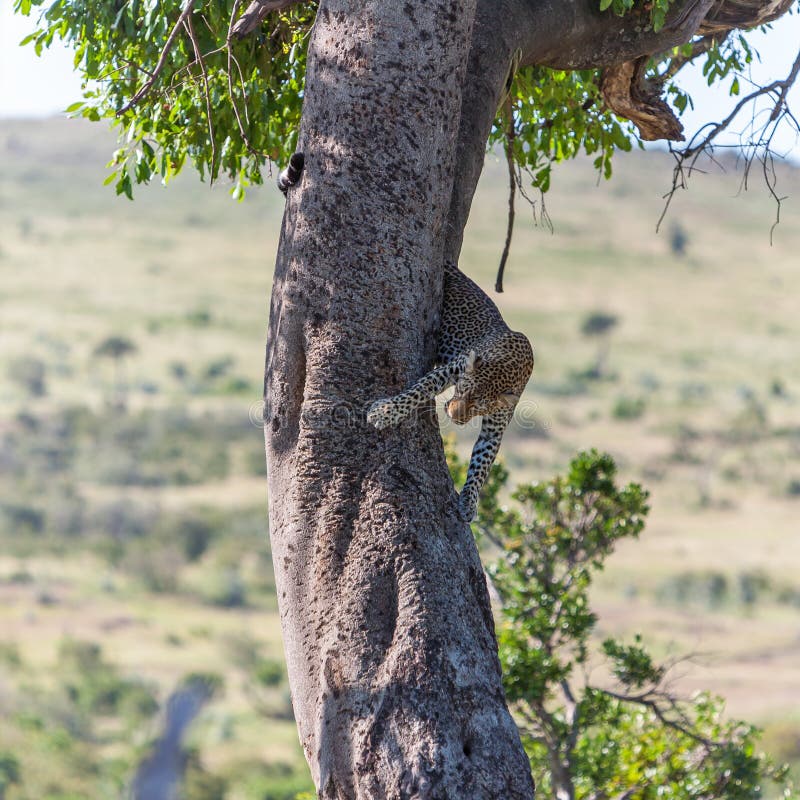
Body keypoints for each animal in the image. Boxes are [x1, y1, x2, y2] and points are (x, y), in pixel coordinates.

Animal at [367, 262, 534, 522]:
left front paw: (469, 502)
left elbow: (482, 463)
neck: (510, 364)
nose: (454, 417)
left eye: (479, 407)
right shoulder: (451, 369)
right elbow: (419, 390)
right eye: (462, 390)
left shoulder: (495, 426)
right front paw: (385, 413)